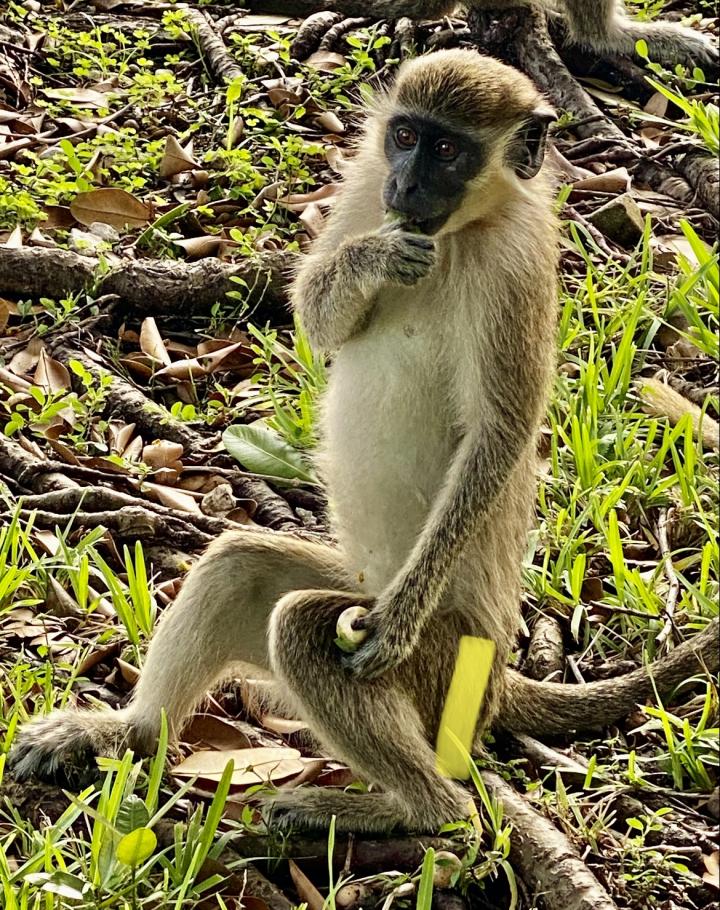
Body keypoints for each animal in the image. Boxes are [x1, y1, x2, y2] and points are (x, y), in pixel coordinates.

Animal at [9, 50, 719, 835]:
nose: (404, 186)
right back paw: (125, 731)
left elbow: (500, 434)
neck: (457, 233)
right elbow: (316, 318)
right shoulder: (360, 186)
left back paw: (415, 813)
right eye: (406, 136)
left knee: (309, 634)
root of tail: (499, 678)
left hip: (446, 667)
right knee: (238, 562)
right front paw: (370, 257)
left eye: (448, 150)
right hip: (357, 584)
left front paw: (398, 625)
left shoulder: (518, 266)